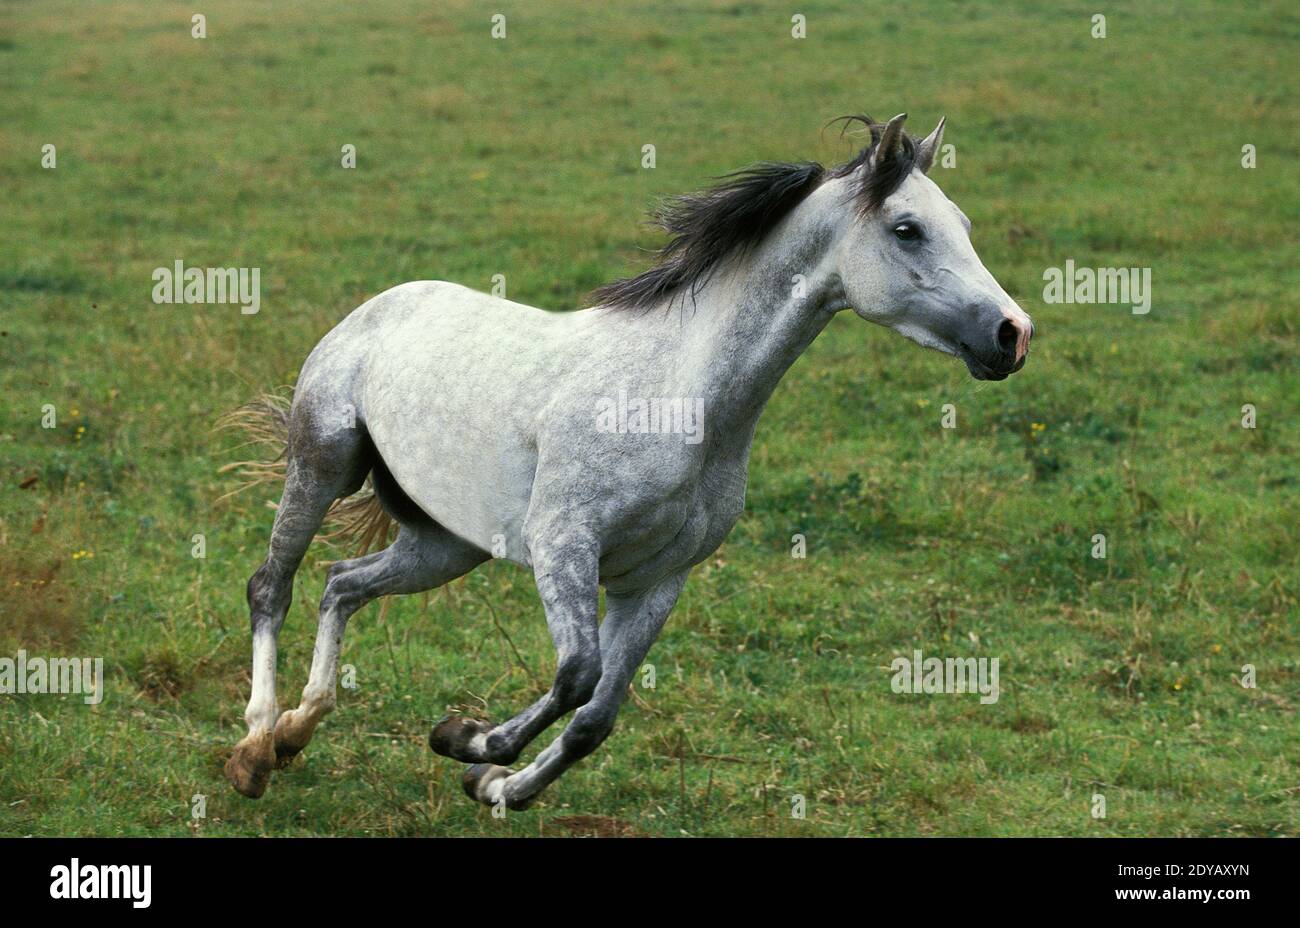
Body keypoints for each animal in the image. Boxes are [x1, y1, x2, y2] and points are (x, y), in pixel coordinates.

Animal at [223, 113, 1034, 811]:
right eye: (907, 229)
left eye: (963, 226)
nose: (1013, 334)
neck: (680, 398)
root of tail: (377, 308)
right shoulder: (565, 544)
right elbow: (576, 675)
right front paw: (468, 739)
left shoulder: (656, 580)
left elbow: (596, 717)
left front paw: (494, 783)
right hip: (323, 463)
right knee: (273, 587)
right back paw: (256, 749)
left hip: (445, 544)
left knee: (341, 585)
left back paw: (298, 731)